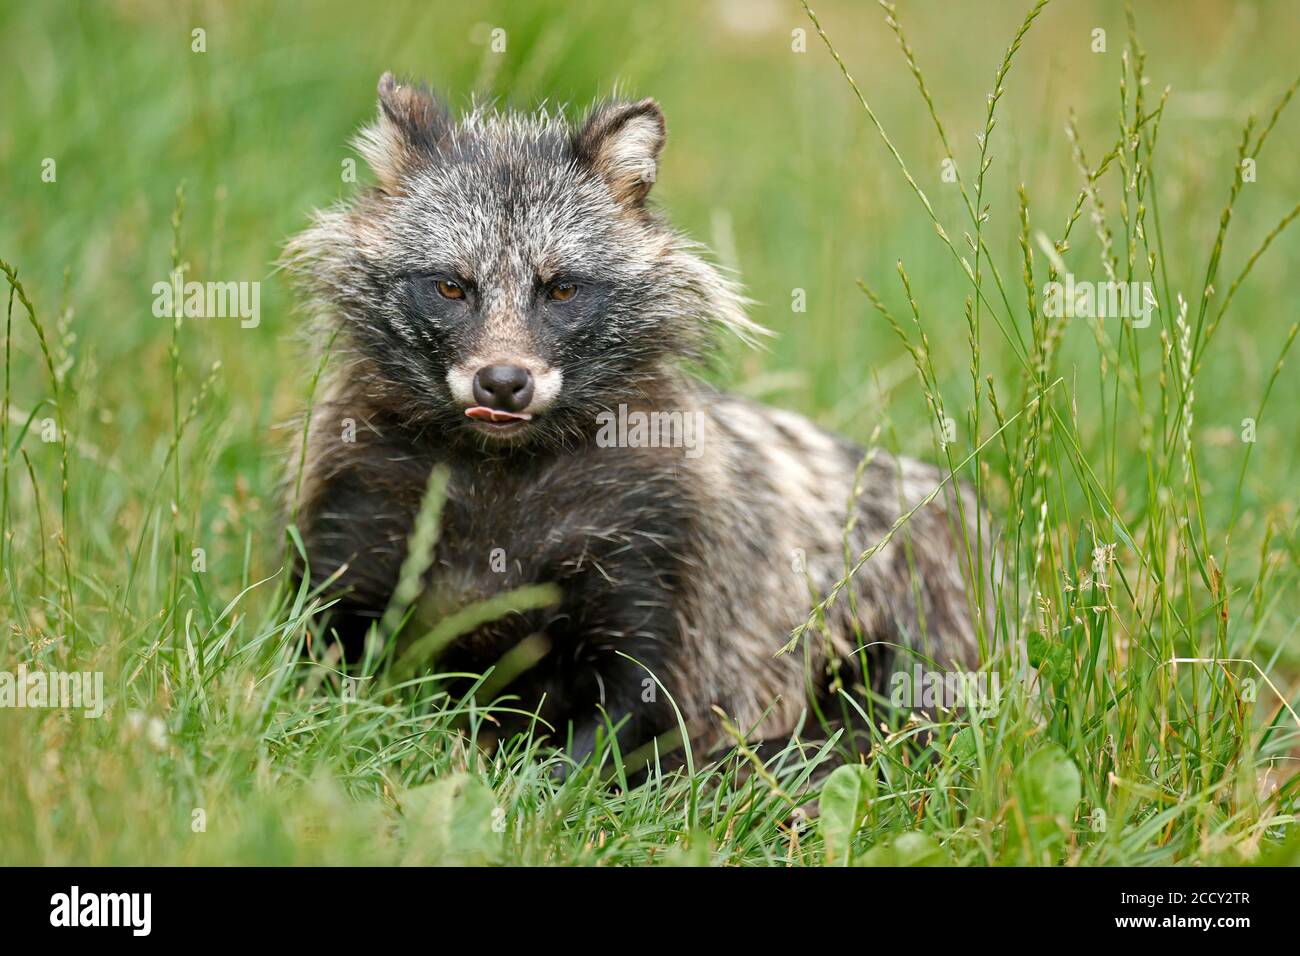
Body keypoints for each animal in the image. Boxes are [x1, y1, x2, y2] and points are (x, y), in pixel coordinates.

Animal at [283, 74, 992, 769]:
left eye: (562, 288)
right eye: (451, 286)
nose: (503, 382)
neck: (500, 476)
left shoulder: (661, 555)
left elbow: (637, 704)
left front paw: (543, 781)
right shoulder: (358, 511)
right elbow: (318, 666)